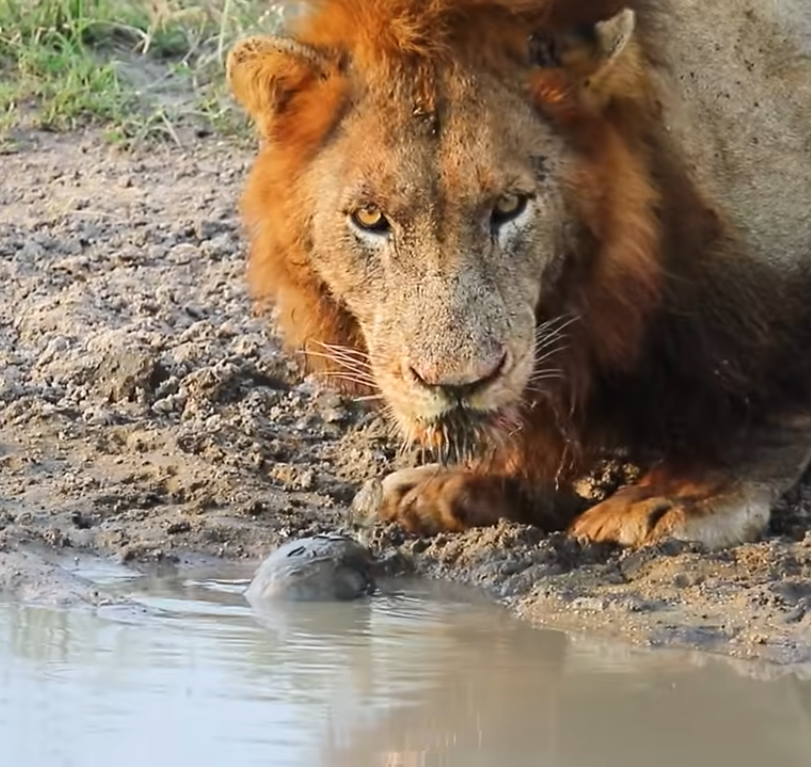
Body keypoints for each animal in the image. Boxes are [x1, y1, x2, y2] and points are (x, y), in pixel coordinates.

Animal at [226, 0, 811, 549]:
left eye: (509, 205)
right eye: (370, 217)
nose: (457, 385)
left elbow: (756, 406)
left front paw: (678, 496)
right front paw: (458, 484)